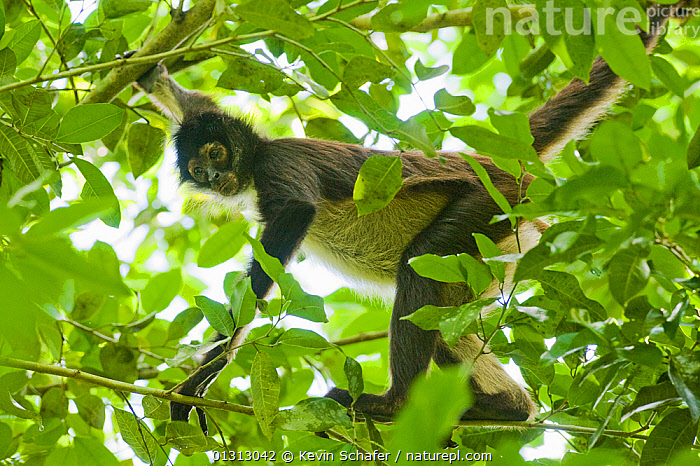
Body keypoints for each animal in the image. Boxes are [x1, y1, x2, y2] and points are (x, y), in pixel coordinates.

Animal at [135, 2, 685, 433]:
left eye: (215, 155)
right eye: (198, 170)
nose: (212, 174)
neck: (255, 160)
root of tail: (485, 163)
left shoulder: (278, 164)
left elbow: (295, 211)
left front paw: (208, 369)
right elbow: (191, 102)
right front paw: (153, 75)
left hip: (487, 206)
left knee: (420, 261)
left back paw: (391, 403)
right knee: (444, 316)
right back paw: (506, 408)